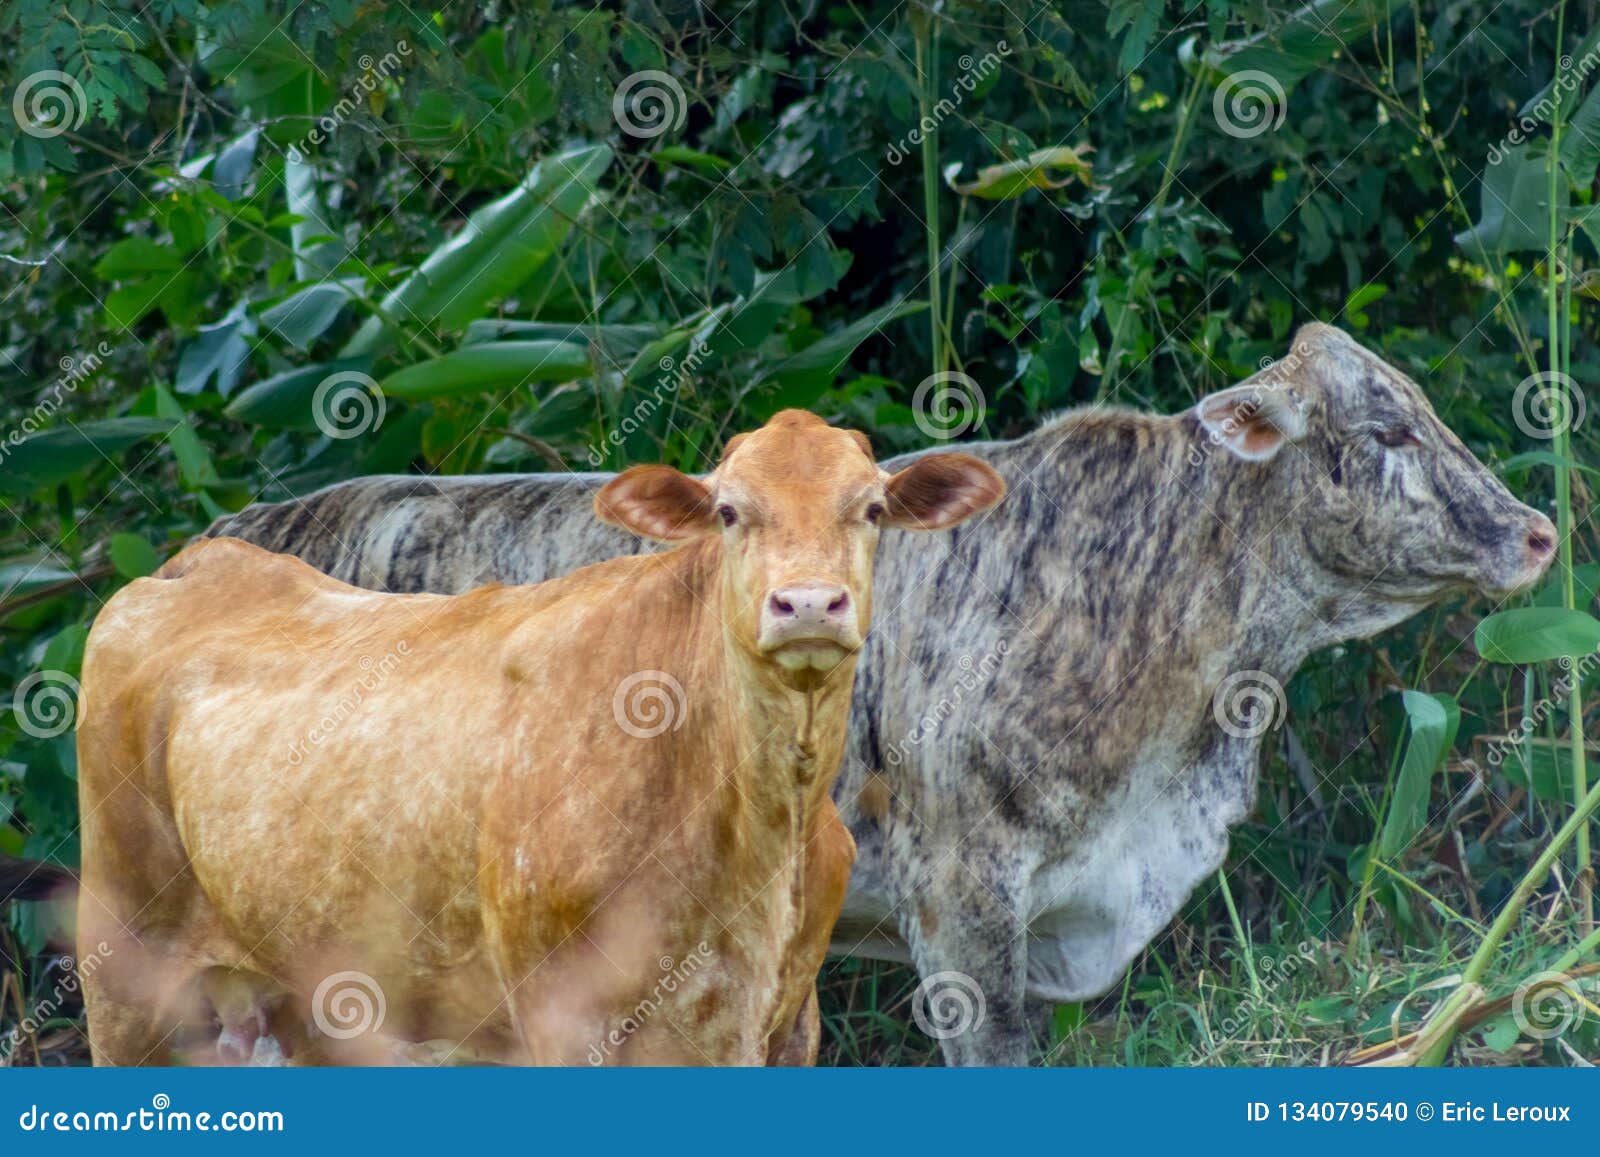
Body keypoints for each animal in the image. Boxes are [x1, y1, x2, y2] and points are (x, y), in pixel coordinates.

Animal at [73, 409, 1005, 1066]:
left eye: (872, 508)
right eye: (730, 511)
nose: (809, 603)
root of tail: (195, 562)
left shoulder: (786, 1019)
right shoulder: (565, 1014)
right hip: (122, 969)